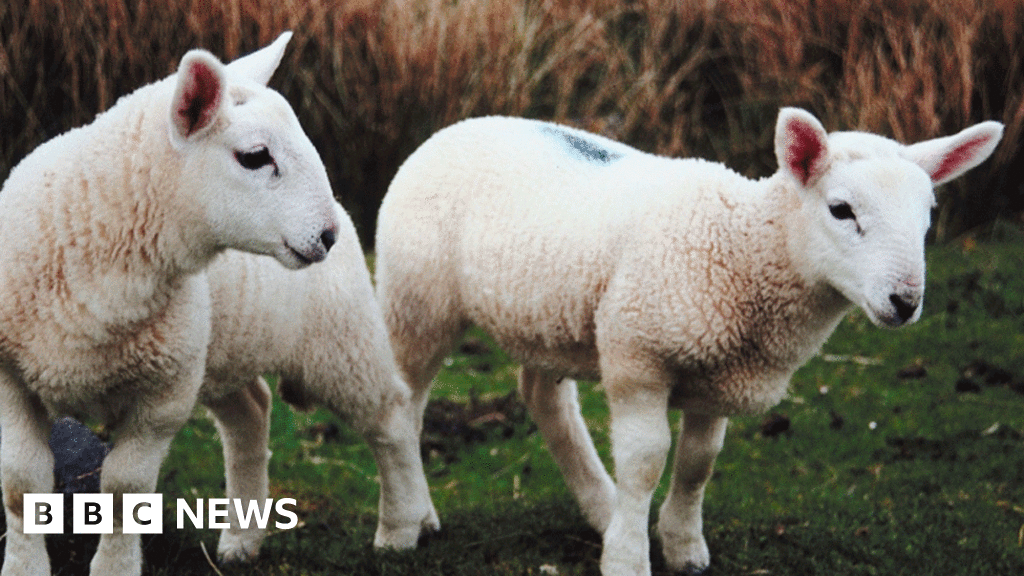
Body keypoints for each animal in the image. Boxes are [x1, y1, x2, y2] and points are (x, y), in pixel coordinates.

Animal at [0, 32, 338, 576]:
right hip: (219, 356)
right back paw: (241, 540)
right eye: (255, 157)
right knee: (252, 411)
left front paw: (114, 568)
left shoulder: (165, 396)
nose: (329, 235)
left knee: (391, 421)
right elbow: (20, 483)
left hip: (342, 342)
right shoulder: (9, 378)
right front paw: (23, 567)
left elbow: (123, 492)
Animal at [200, 201, 439, 563]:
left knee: (392, 420)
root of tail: (335, 206)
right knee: (249, 414)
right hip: (225, 352)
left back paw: (398, 532)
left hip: (339, 344)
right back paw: (239, 543)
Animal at [374, 109, 1003, 575]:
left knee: (543, 397)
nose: (905, 301)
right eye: (841, 209)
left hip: (550, 317)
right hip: (418, 300)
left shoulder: (719, 375)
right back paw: (405, 520)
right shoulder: (639, 358)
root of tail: (457, 126)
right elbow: (647, 460)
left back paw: (601, 507)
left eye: (928, 216)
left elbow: (700, 461)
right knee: (402, 408)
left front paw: (682, 547)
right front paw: (628, 558)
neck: (743, 248)